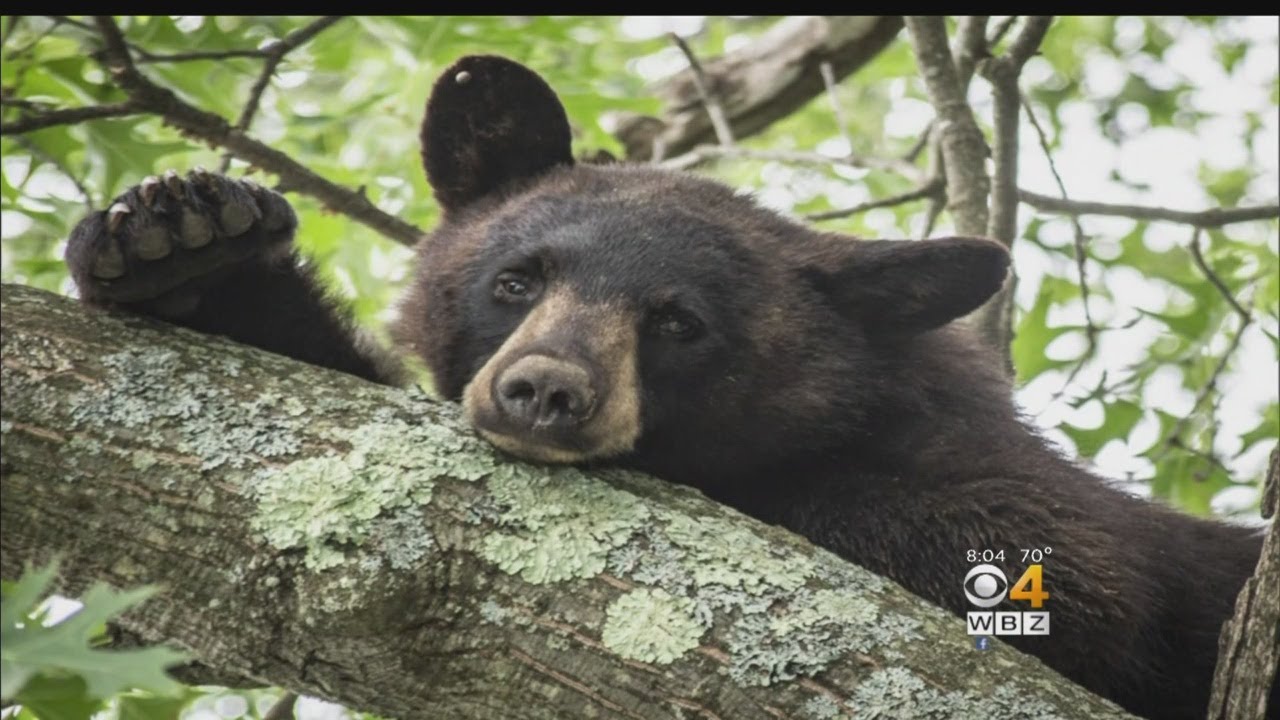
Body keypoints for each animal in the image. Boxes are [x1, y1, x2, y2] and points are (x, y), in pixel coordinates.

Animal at [63, 55, 1272, 720]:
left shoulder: (1037, 517)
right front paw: (188, 247)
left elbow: (1054, 574)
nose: (543, 391)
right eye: (515, 279)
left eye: (679, 324)